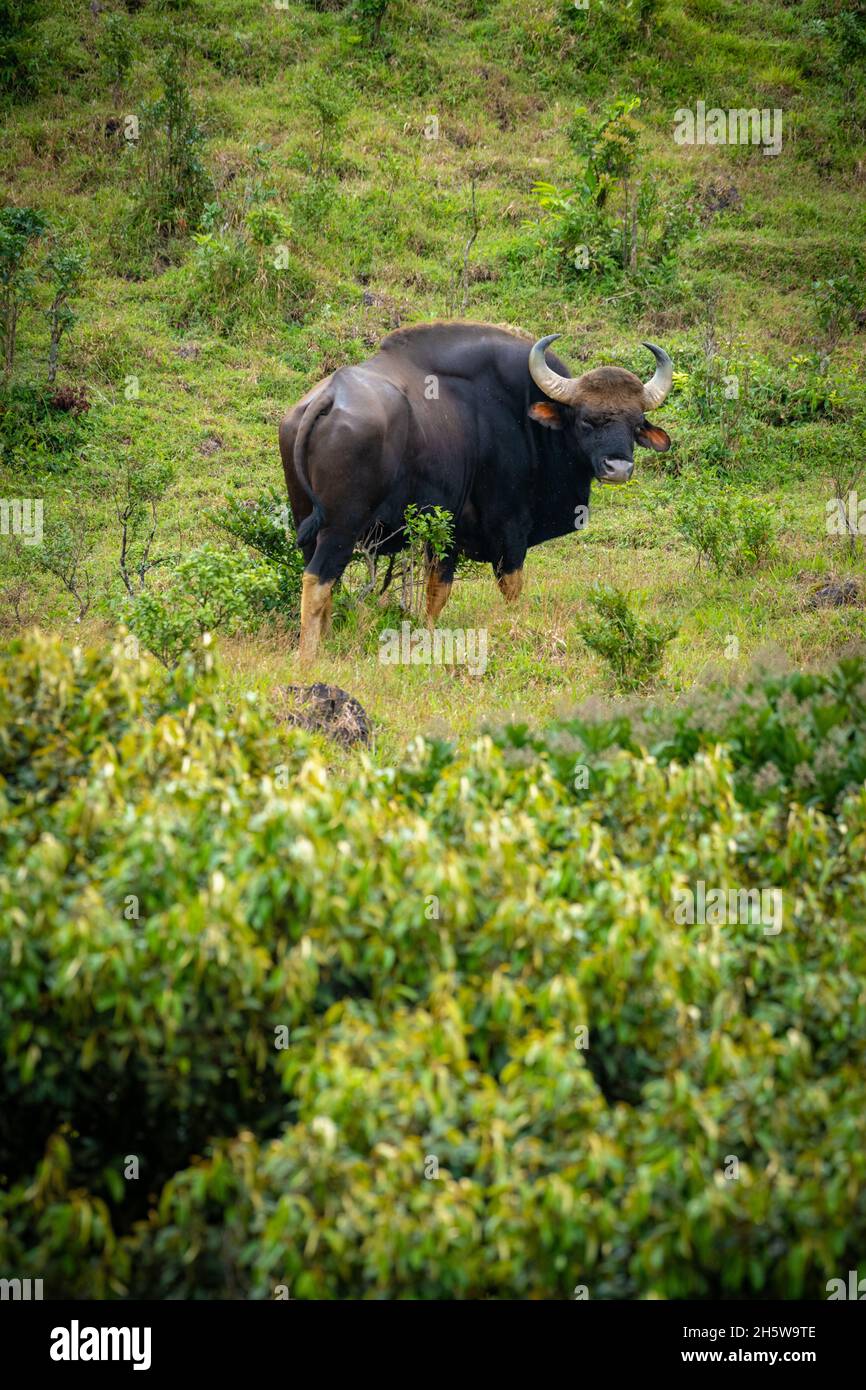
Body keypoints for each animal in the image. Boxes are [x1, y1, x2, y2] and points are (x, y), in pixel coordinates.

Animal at [279, 322, 673, 661]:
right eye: (587, 420)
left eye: (636, 422)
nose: (618, 467)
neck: (521, 415)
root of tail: (329, 397)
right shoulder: (509, 527)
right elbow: (510, 588)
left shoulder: (446, 533)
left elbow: (436, 591)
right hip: (342, 527)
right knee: (318, 579)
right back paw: (309, 655)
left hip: (306, 519)